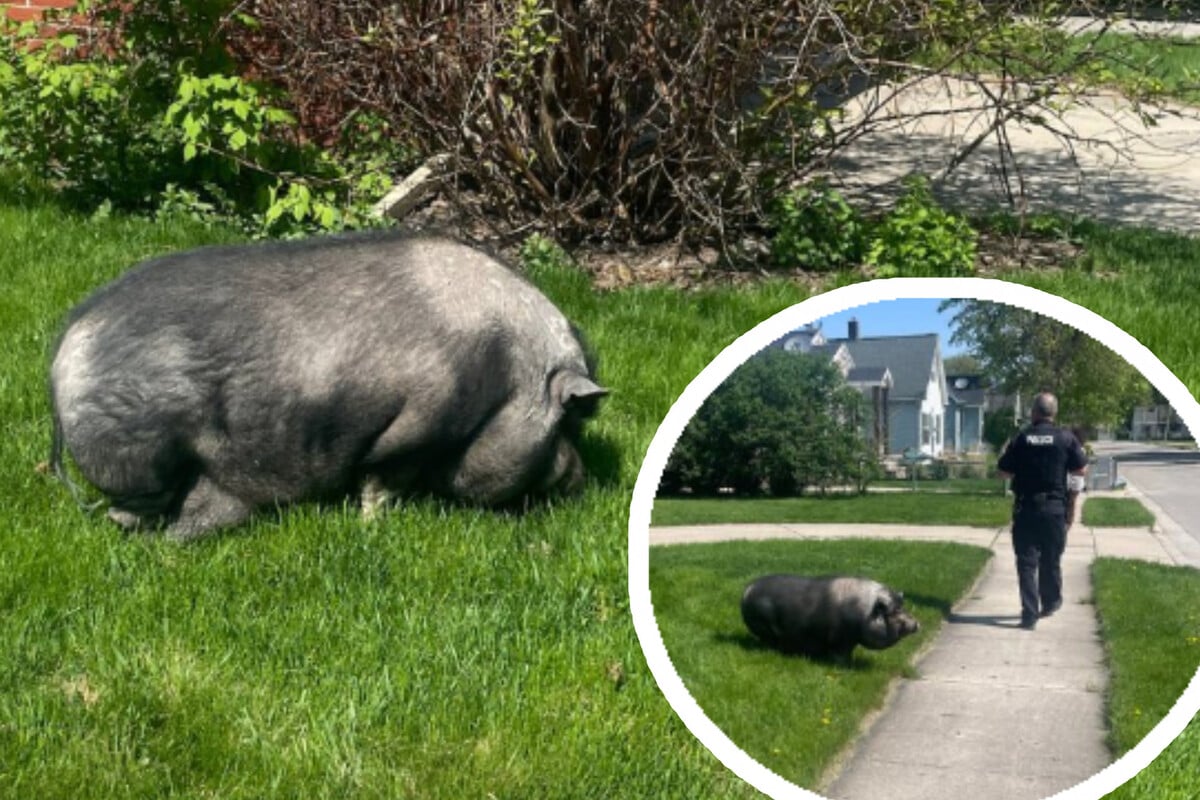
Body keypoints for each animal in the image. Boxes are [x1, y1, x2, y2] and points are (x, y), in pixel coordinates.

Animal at [48, 231, 607, 540]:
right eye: (567, 422)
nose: (582, 480)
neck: (505, 375)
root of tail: (61, 354)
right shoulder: (419, 418)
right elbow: (384, 476)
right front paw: (373, 524)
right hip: (138, 451)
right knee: (135, 508)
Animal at [741, 575, 920, 664]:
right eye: (895, 611)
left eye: (902, 606)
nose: (918, 623)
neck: (864, 612)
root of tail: (747, 591)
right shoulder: (842, 639)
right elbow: (840, 654)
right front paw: (844, 666)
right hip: (765, 625)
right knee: (768, 641)